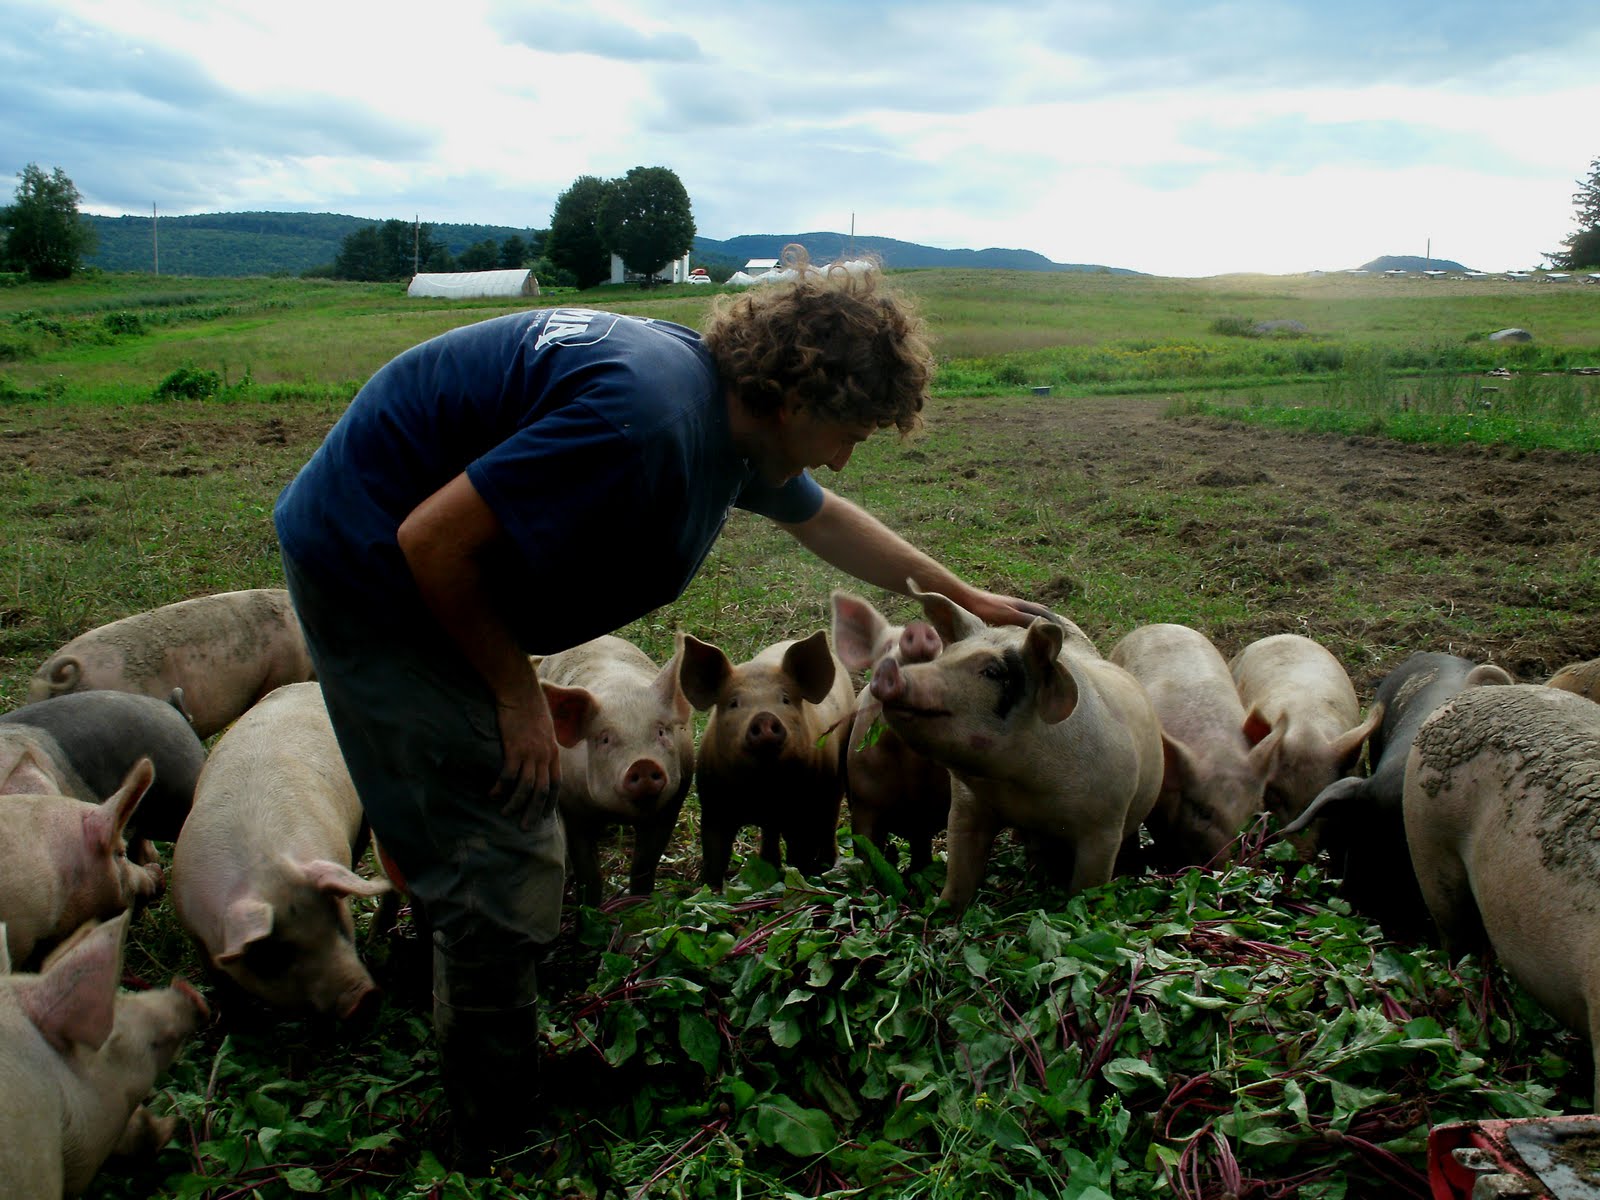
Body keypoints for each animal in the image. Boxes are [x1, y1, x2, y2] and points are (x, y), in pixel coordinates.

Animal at [172, 682, 388, 1018]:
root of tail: (311, 684)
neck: (262, 865)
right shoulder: (196, 932)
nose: (363, 998)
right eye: (273, 955)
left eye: (339, 921)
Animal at [535, 635, 695, 905]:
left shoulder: (672, 804)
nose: (643, 763)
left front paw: (640, 904)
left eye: (661, 731)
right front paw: (589, 910)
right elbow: (588, 871)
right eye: (605, 739)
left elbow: (645, 864)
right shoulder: (573, 808)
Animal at [680, 630, 856, 888]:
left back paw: (828, 867)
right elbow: (715, 854)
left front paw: (798, 878)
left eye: (785, 699)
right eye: (733, 703)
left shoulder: (802, 806)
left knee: (828, 824)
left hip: (835, 782)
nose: (764, 717)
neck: (765, 787)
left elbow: (799, 851)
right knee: (771, 833)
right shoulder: (713, 805)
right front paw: (709, 891)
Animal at [867, 588, 1163, 913]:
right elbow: (960, 869)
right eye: (947, 655)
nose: (887, 669)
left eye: (992, 672)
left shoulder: (1105, 823)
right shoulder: (966, 804)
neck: (1021, 789)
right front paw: (941, 912)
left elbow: (1088, 886)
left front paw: (1081, 912)